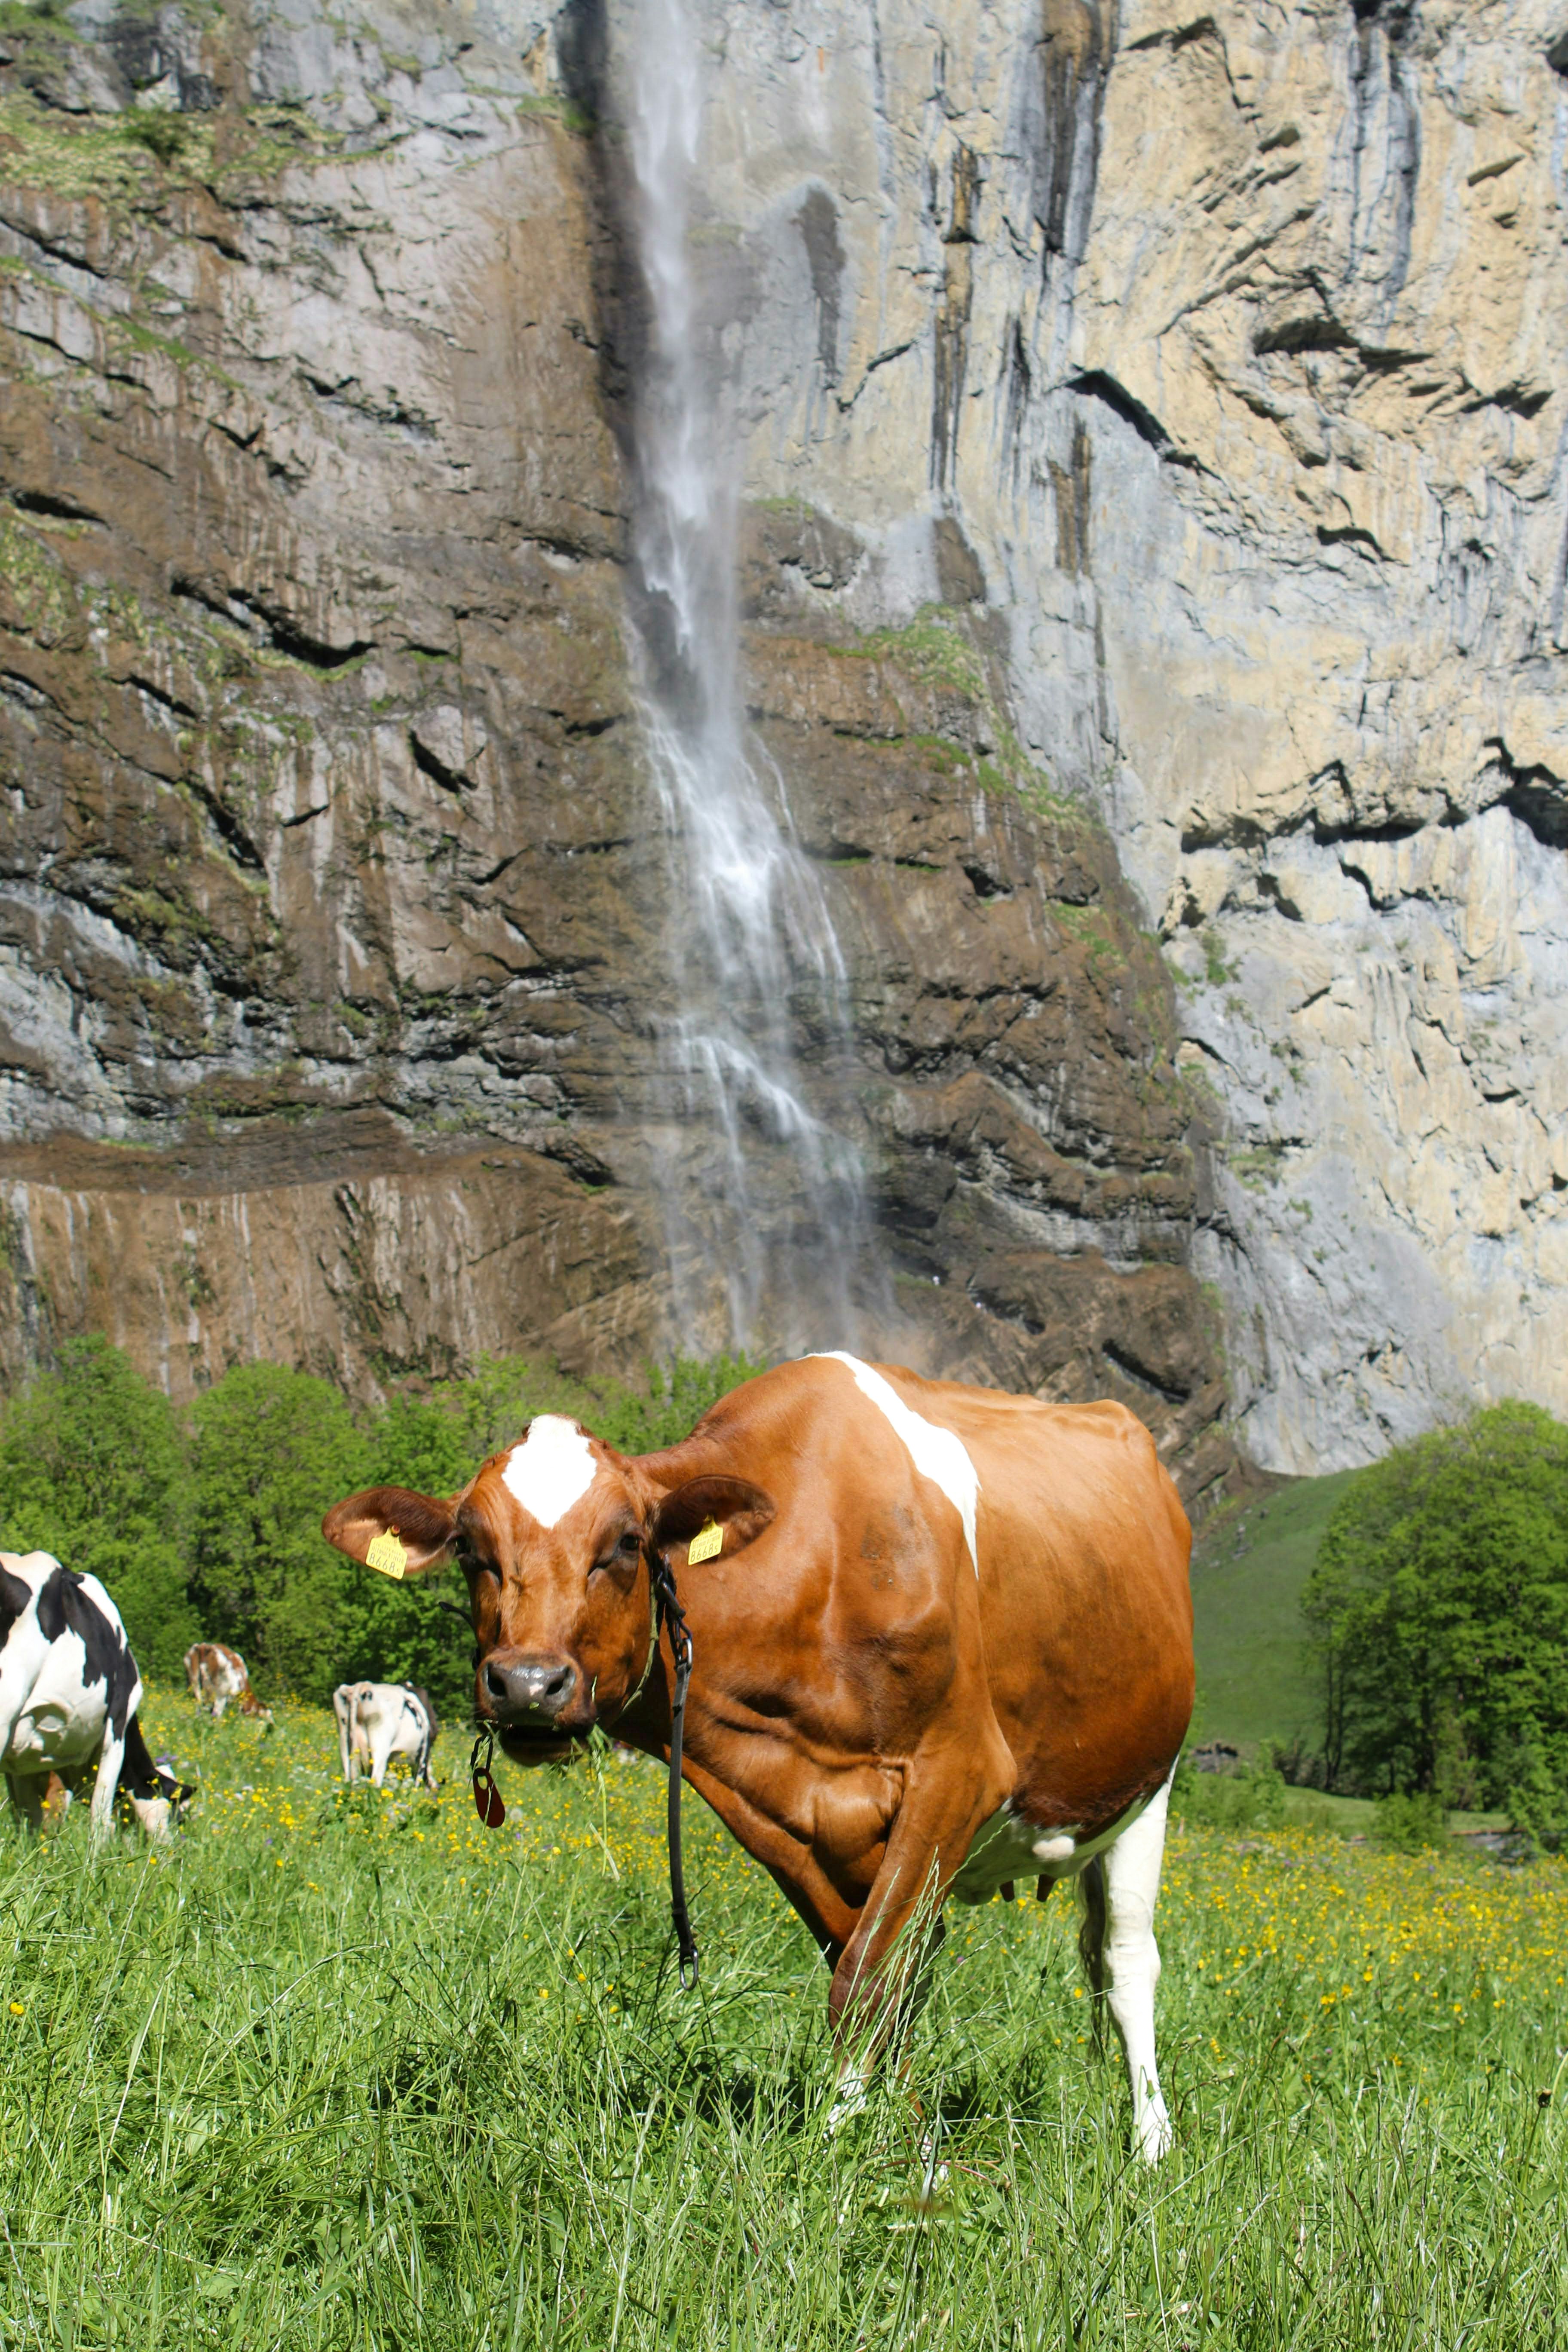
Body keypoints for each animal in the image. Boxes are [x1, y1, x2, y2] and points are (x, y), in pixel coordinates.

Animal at [0, 1550, 193, 1840]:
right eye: (176, 1812)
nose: (173, 1847)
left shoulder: (22, 1757)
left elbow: (30, 1818)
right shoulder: (117, 1726)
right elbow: (101, 1813)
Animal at [184, 1641, 271, 1722]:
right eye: (262, 1717)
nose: (271, 1725)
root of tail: (202, 1646)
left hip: (195, 1682)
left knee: (199, 1704)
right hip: (217, 1690)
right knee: (215, 1711)